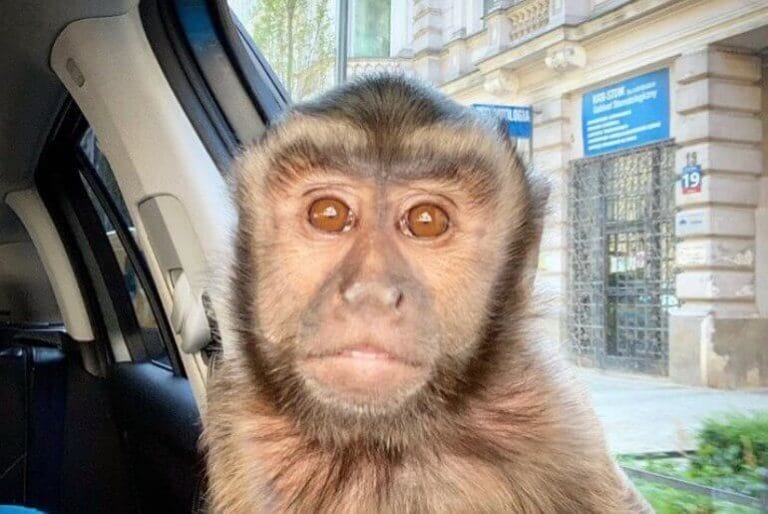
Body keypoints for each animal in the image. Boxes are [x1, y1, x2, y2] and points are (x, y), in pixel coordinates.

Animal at [202, 74, 651, 514]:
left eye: (426, 220)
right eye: (328, 214)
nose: (372, 292)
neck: (382, 444)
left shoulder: (557, 416)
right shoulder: (244, 431)